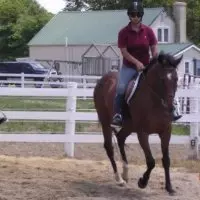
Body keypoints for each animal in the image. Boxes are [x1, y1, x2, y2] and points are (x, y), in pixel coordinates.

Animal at [93, 50, 183, 195]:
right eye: (162, 79)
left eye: (176, 79)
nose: (171, 107)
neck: (155, 101)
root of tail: (103, 78)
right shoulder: (142, 133)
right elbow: (151, 161)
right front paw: (142, 182)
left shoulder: (166, 131)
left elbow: (166, 160)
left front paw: (169, 187)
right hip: (105, 122)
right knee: (109, 147)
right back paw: (119, 179)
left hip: (129, 126)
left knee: (120, 138)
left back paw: (125, 173)